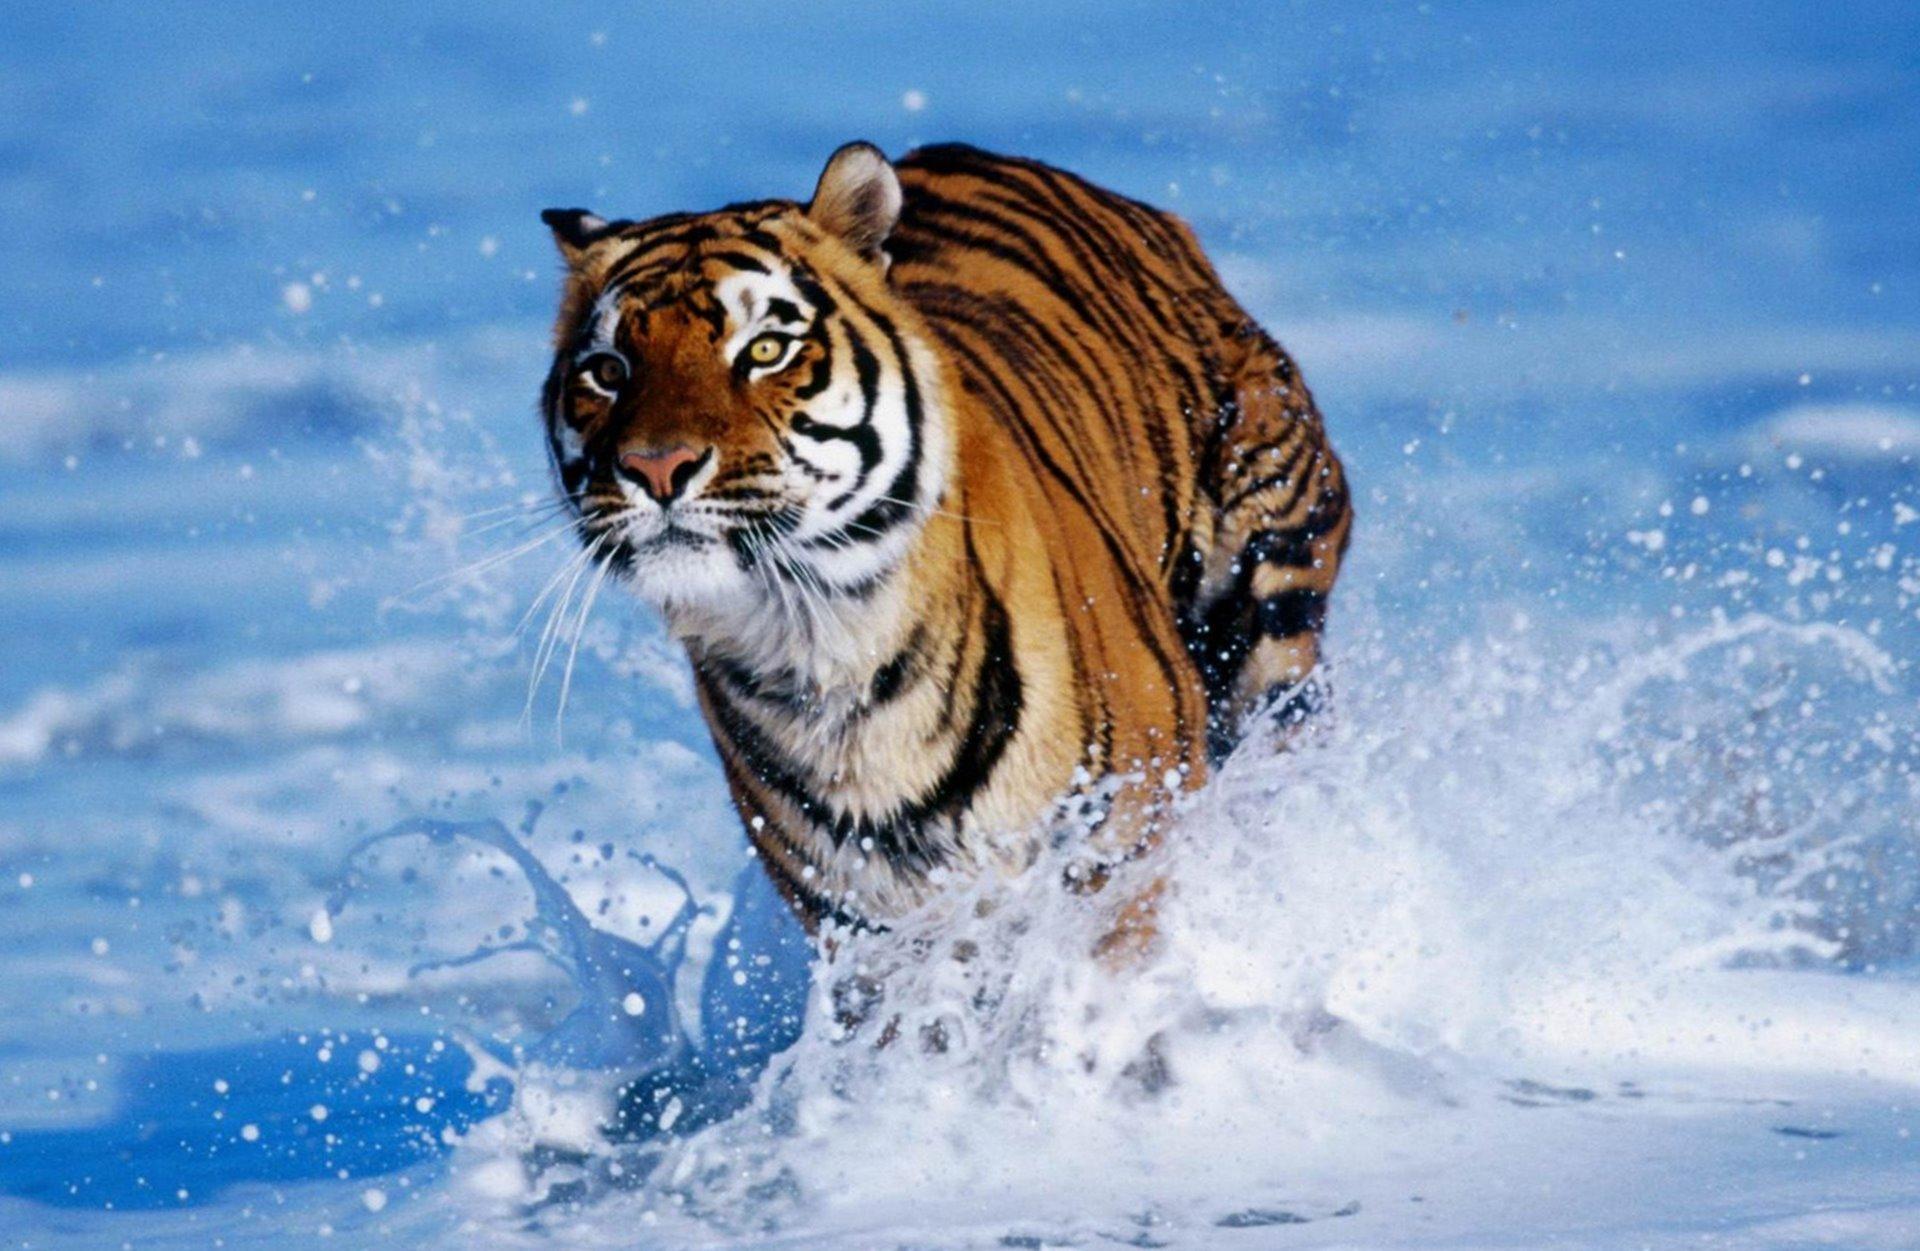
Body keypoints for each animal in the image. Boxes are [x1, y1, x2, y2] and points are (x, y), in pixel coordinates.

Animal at [538, 141, 1351, 940]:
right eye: (607, 371)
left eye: (766, 349)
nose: (655, 466)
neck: (823, 651)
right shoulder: (869, 932)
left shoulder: (1122, 859)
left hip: (1270, 602)